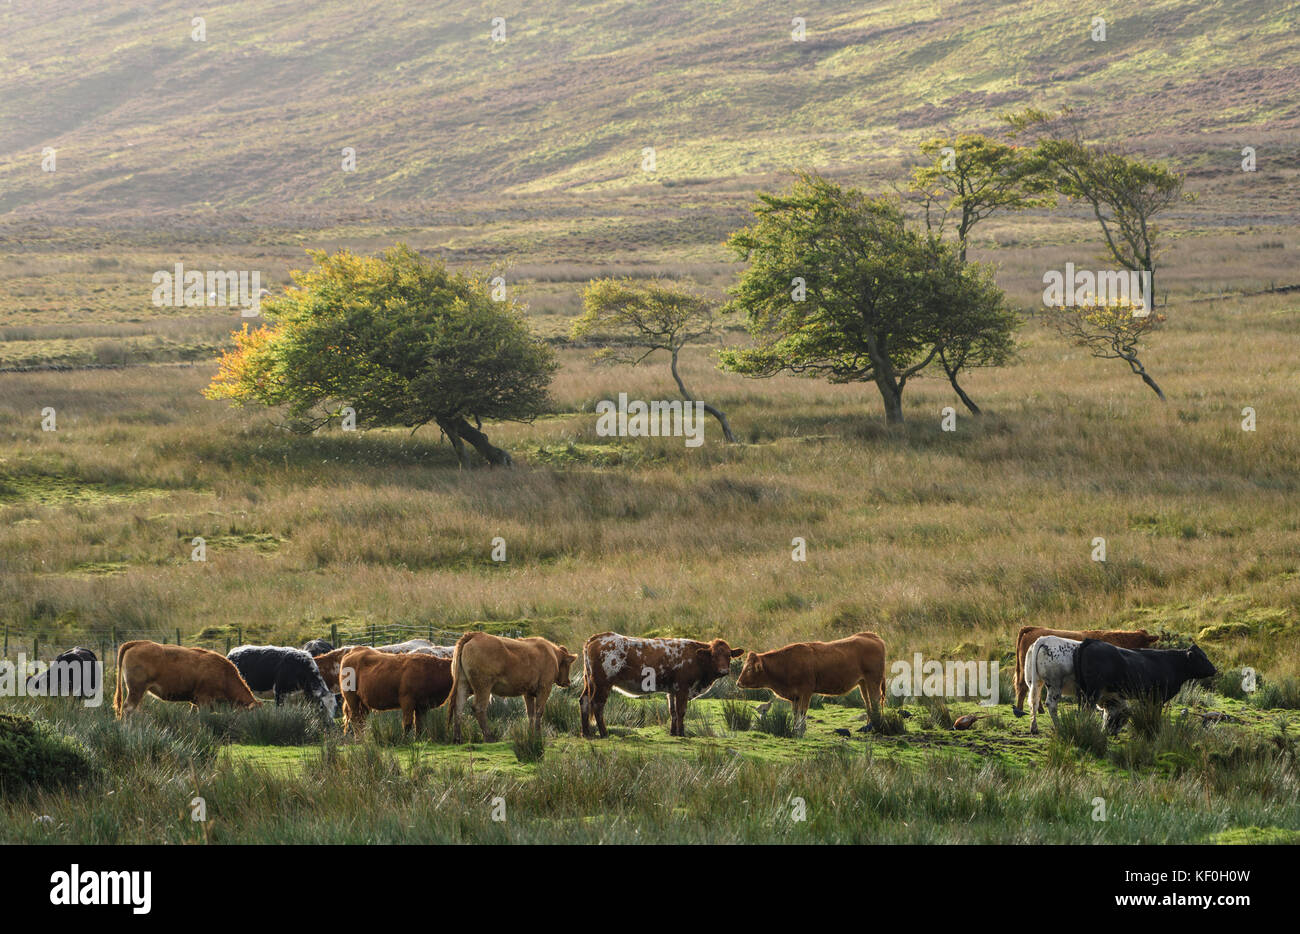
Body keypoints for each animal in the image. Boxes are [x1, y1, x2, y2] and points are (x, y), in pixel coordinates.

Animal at [113, 640, 260, 718]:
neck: (224, 675)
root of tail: (139, 643)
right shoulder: (204, 700)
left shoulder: (195, 702)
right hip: (136, 690)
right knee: (128, 708)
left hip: (138, 691)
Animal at [446, 632, 577, 742]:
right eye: (568, 664)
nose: (568, 682)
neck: (552, 654)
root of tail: (475, 635)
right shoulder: (544, 688)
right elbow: (539, 712)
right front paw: (538, 734)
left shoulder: (528, 693)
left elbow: (531, 714)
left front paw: (531, 733)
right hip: (483, 687)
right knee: (479, 708)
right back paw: (489, 737)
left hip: (463, 685)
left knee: (458, 708)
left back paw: (457, 738)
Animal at [580, 632, 744, 739]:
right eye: (714, 656)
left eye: (728, 655)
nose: (724, 671)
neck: (696, 658)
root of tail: (598, 637)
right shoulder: (683, 688)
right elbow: (681, 711)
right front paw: (682, 734)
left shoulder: (672, 691)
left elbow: (673, 712)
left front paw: (673, 733)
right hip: (602, 684)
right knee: (597, 705)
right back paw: (604, 733)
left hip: (590, 682)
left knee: (584, 701)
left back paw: (586, 733)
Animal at [735, 632, 886, 735]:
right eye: (744, 667)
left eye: (749, 668)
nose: (738, 682)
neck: (786, 663)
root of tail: (871, 636)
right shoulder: (795, 696)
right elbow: (795, 713)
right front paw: (795, 729)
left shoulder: (805, 693)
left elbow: (802, 712)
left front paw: (800, 730)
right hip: (863, 683)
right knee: (868, 703)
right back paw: (867, 727)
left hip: (873, 681)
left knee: (875, 702)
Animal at [1073, 638, 1217, 735]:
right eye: (1201, 658)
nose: (1214, 669)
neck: (1173, 664)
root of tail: (1093, 641)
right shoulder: (1158, 697)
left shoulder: (1147, 698)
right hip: (1093, 691)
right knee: (1087, 707)